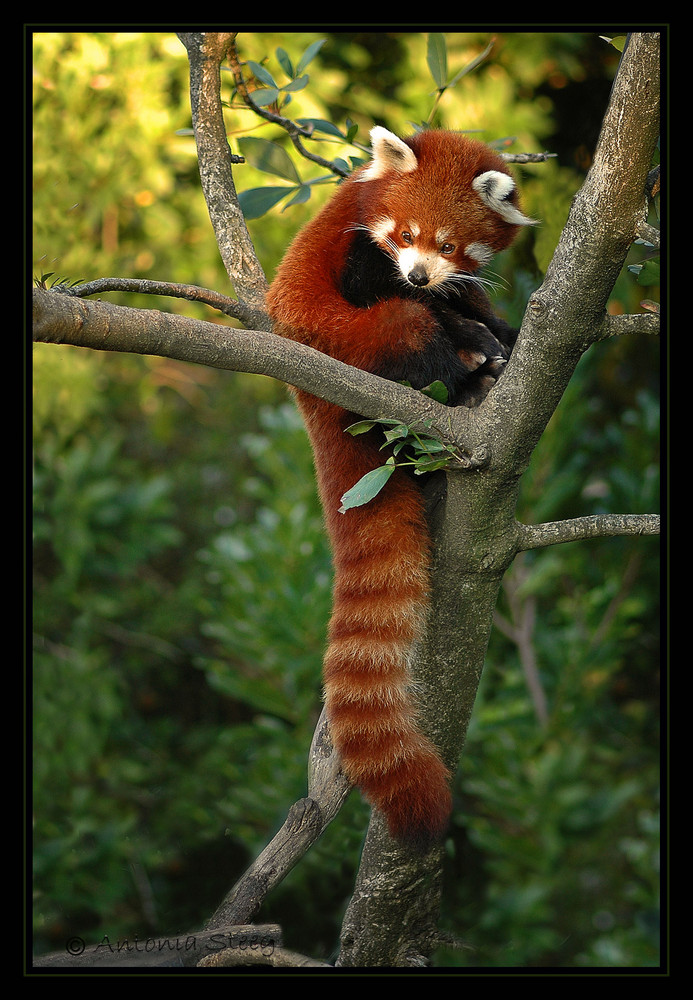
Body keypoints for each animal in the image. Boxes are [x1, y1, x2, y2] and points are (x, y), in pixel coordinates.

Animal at [266, 123, 536, 844]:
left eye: (448, 245)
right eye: (405, 234)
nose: (416, 273)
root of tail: (311, 392)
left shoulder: (458, 279)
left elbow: (468, 295)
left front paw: (497, 330)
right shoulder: (358, 252)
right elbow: (410, 300)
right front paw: (471, 336)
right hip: (353, 339)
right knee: (407, 327)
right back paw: (462, 363)